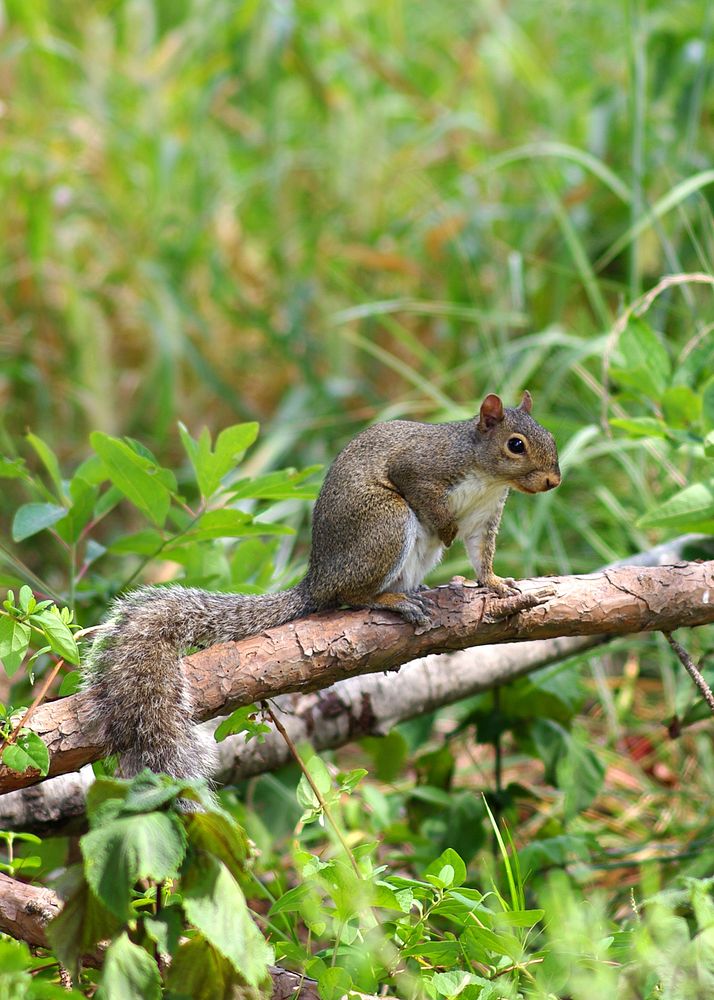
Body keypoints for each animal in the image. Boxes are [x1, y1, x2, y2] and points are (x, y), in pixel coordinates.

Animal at [83, 391, 560, 782]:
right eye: (516, 444)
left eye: (551, 437)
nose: (554, 482)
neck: (487, 477)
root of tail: (317, 580)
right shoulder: (423, 469)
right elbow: (428, 499)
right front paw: (445, 529)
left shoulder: (485, 516)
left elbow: (482, 556)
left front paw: (496, 585)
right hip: (385, 523)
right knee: (351, 597)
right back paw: (391, 601)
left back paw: (418, 592)